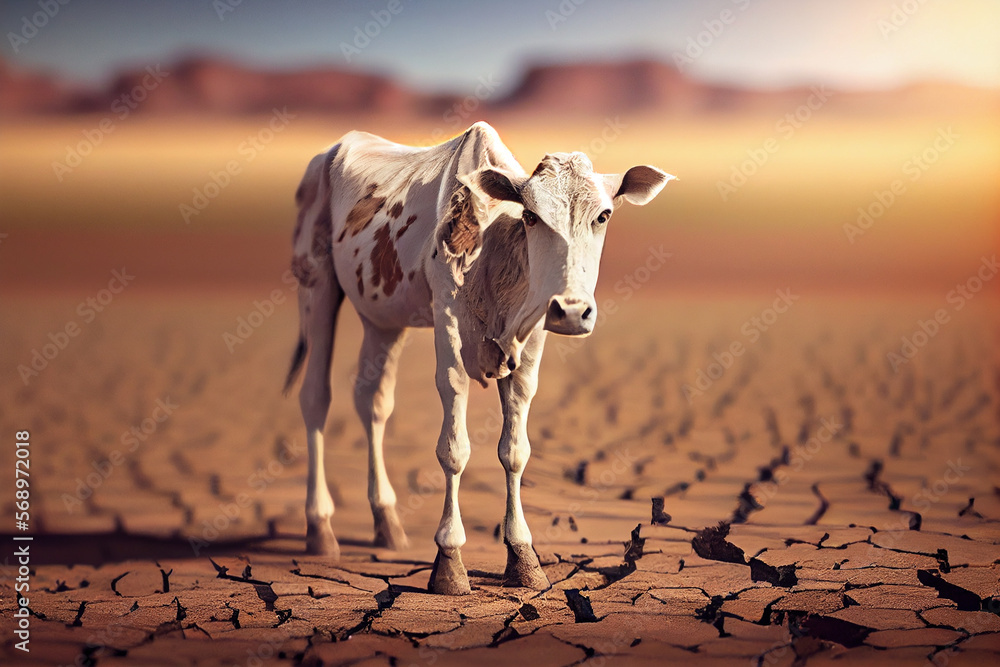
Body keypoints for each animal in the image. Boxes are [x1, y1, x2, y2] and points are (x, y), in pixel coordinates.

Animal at [285, 121, 672, 594]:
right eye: (531, 216)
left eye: (603, 215)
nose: (571, 310)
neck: (495, 251)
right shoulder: (447, 323)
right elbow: (454, 447)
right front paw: (449, 562)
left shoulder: (531, 335)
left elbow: (515, 450)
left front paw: (523, 556)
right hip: (315, 282)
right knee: (315, 398)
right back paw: (320, 527)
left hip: (383, 316)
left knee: (371, 399)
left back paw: (387, 521)